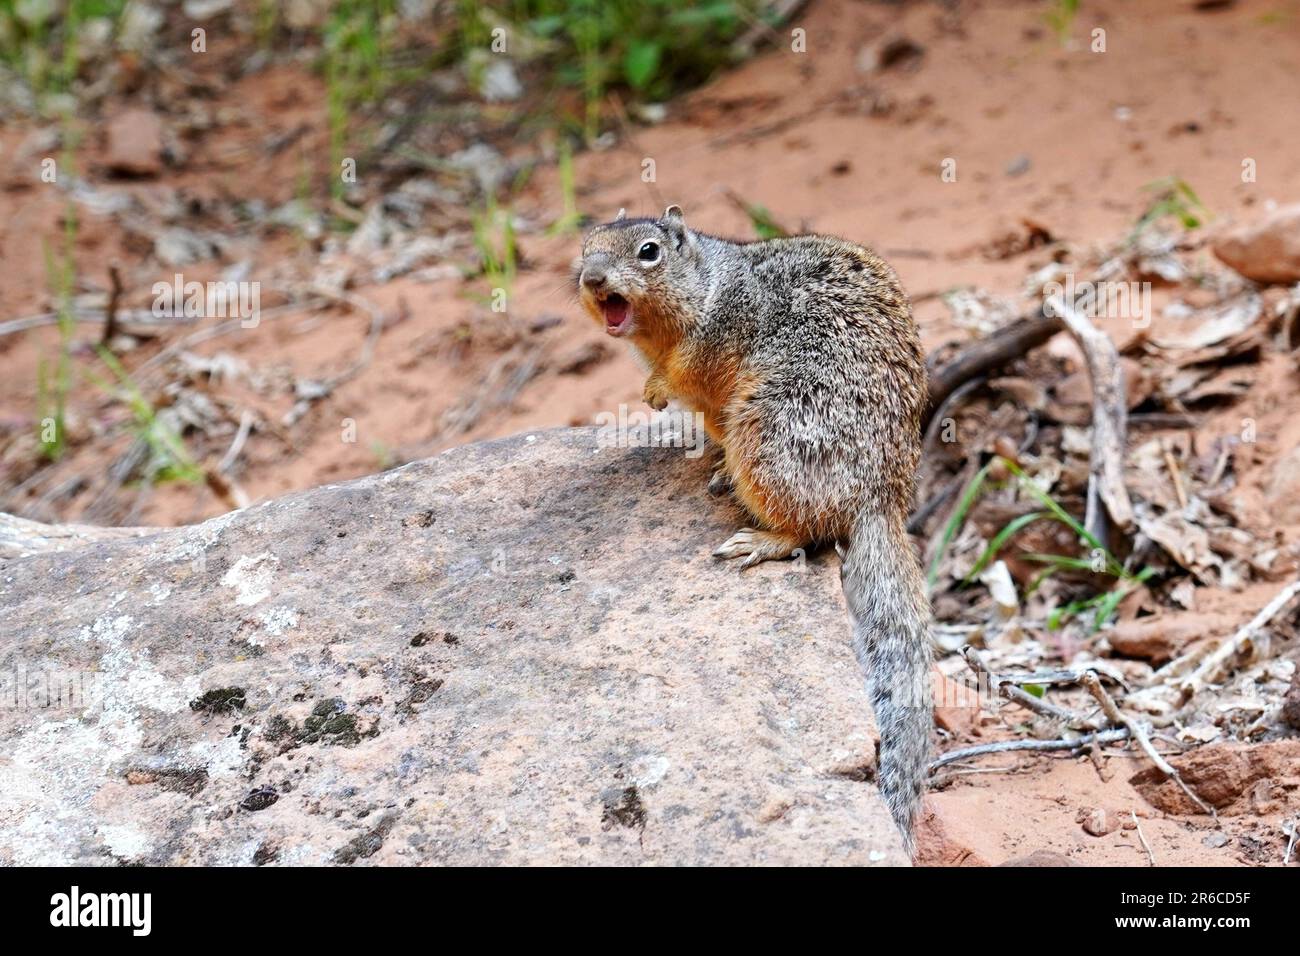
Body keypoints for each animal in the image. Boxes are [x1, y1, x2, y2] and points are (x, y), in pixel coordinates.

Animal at [576, 205, 932, 855]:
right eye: (586, 247)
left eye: (648, 252)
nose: (592, 279)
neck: (708, 284)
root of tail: (882, 502)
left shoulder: (718, 336)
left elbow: (685, 370)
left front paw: (658, 389)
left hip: (770, 429)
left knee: (807, 530)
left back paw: (761, 539)